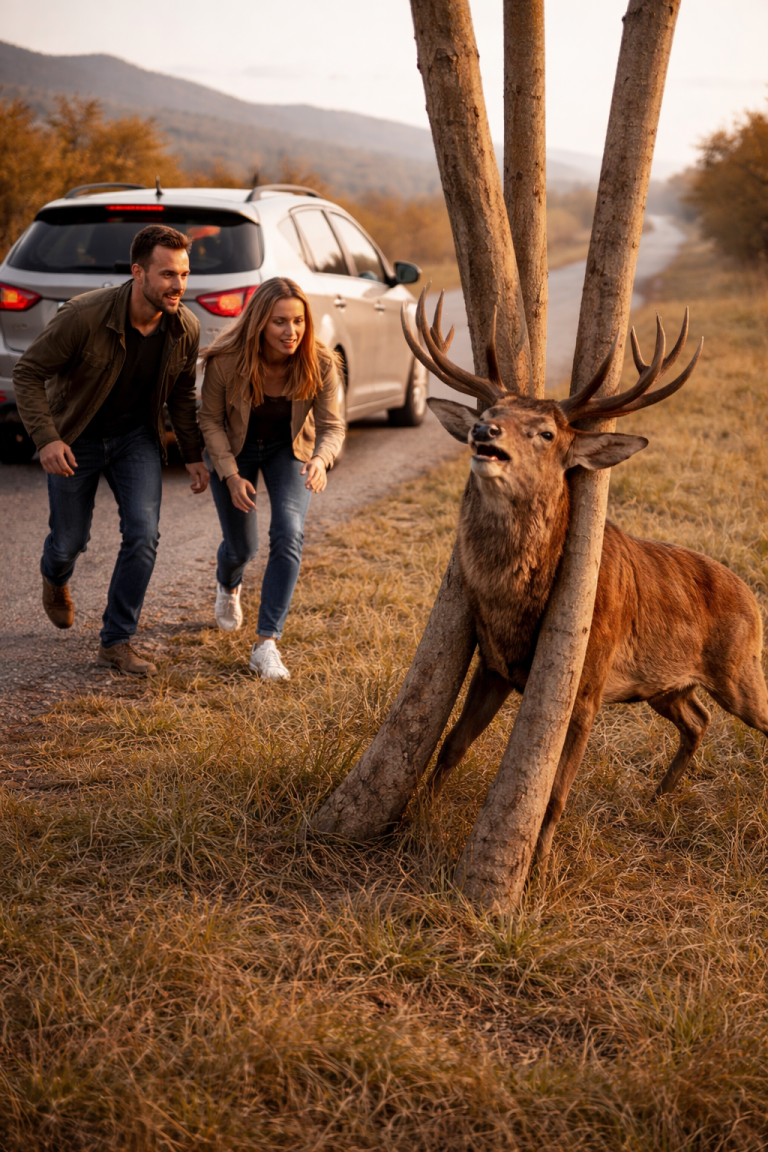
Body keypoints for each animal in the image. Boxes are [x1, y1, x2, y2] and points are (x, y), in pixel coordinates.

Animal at [402, 289, 768, 866]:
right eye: (490, 411)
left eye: (547, 433)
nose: (483, 431)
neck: (517, 610)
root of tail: (751, 596)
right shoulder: (495, 663)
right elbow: (454, 744)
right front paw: (414, 820)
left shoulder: (587, 677)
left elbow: (554, 792)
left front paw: (538, 868)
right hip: (664, 686)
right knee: (698, 718)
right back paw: (658, 796)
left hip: (740, 667)